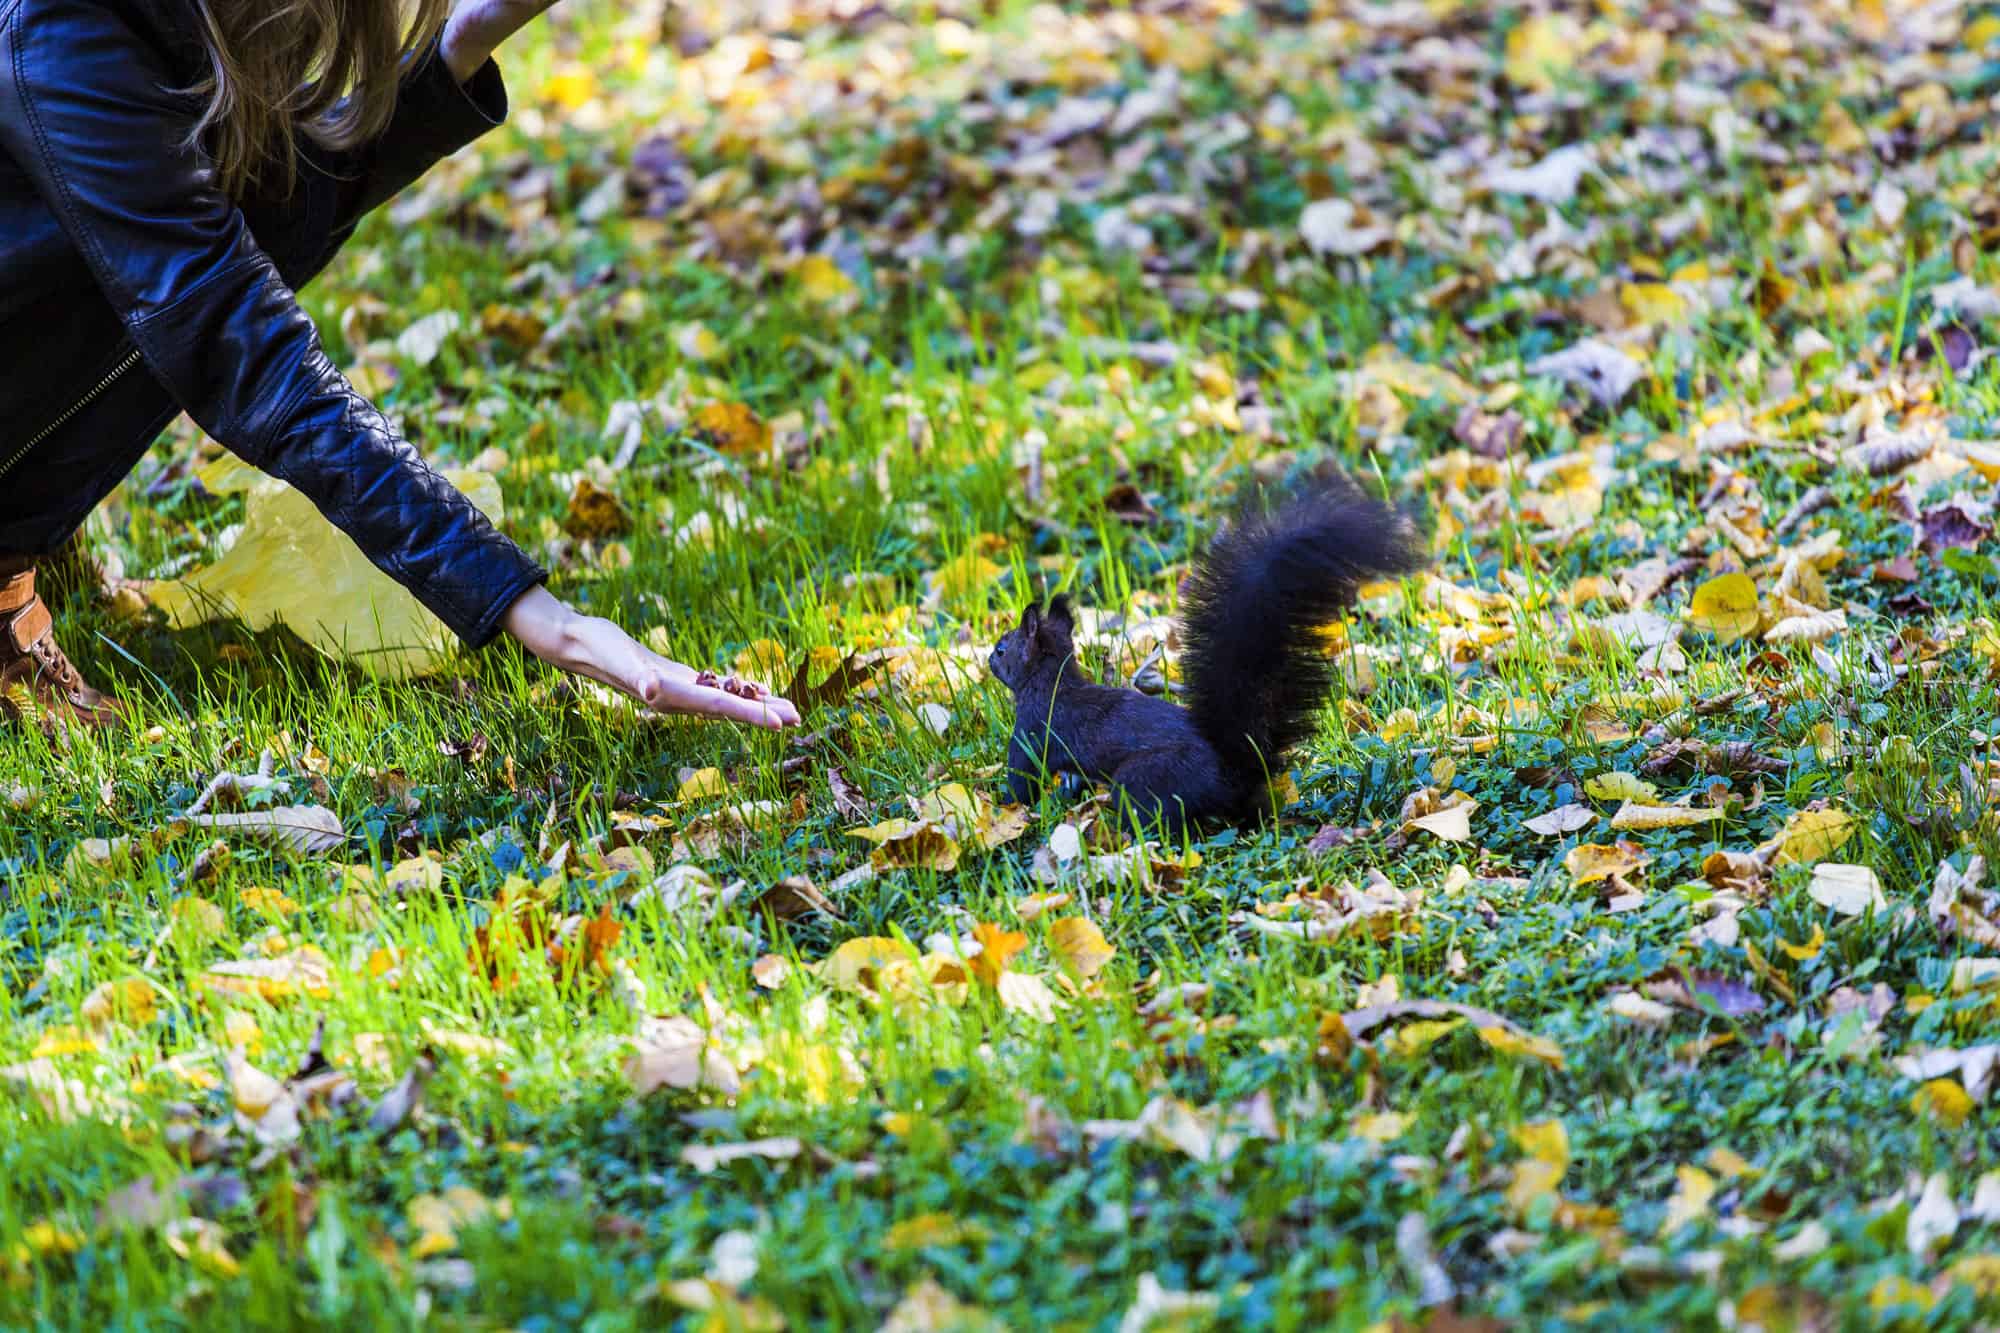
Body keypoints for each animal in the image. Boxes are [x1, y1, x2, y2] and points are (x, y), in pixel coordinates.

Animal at [988, 481, 1425, 832]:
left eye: (1002, 648)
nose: (990, 661)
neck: (1053, 683)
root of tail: (1234, 772)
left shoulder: (1029, 731)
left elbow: (1022, 779)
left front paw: (1006, 807)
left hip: (1143, 779)